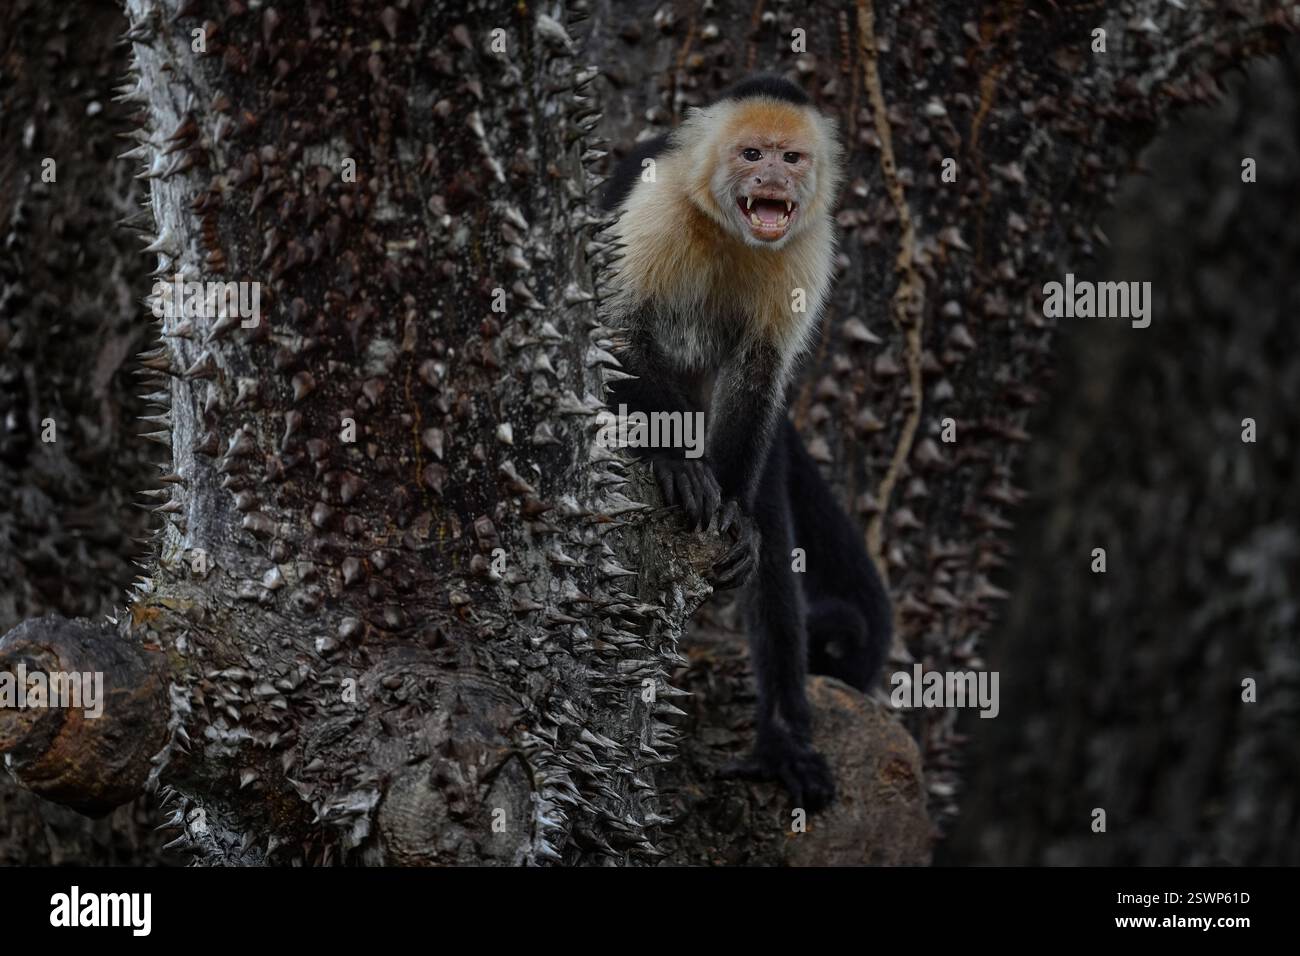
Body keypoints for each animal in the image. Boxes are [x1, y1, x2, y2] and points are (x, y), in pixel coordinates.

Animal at [599, 75, 891, 811]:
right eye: (751, 153)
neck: (731, 232)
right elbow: (612, 333)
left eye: (790, 158)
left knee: (774, 552)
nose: (770, 179)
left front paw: (731, 513)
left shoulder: (811, 245)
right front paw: (674, 459)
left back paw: (782, 739)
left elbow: (760, 377)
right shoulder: (655, 204)